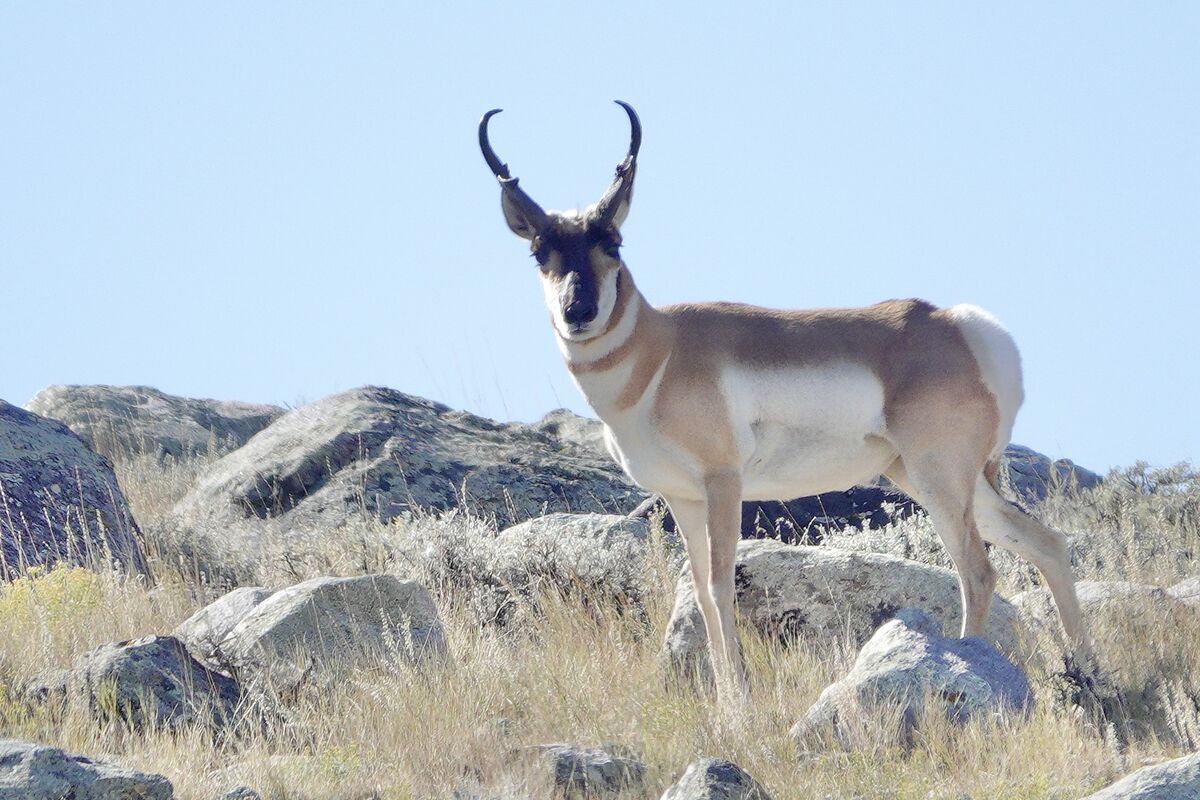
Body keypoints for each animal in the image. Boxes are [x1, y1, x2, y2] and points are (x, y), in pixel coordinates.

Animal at [479, 101, 1087, 705]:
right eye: (539, 251)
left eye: (614, 243)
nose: (577, 312)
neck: (662, 350)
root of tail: (963, 326)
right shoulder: (682, 498)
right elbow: (699, 590)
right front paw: (728, 696)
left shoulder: (723, 483)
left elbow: (721, 584)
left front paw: (739, 701)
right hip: (934, 478)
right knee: (1047, 543)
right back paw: (1085, 674)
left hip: (940, 479)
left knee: (978, 572)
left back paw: (973, 662)